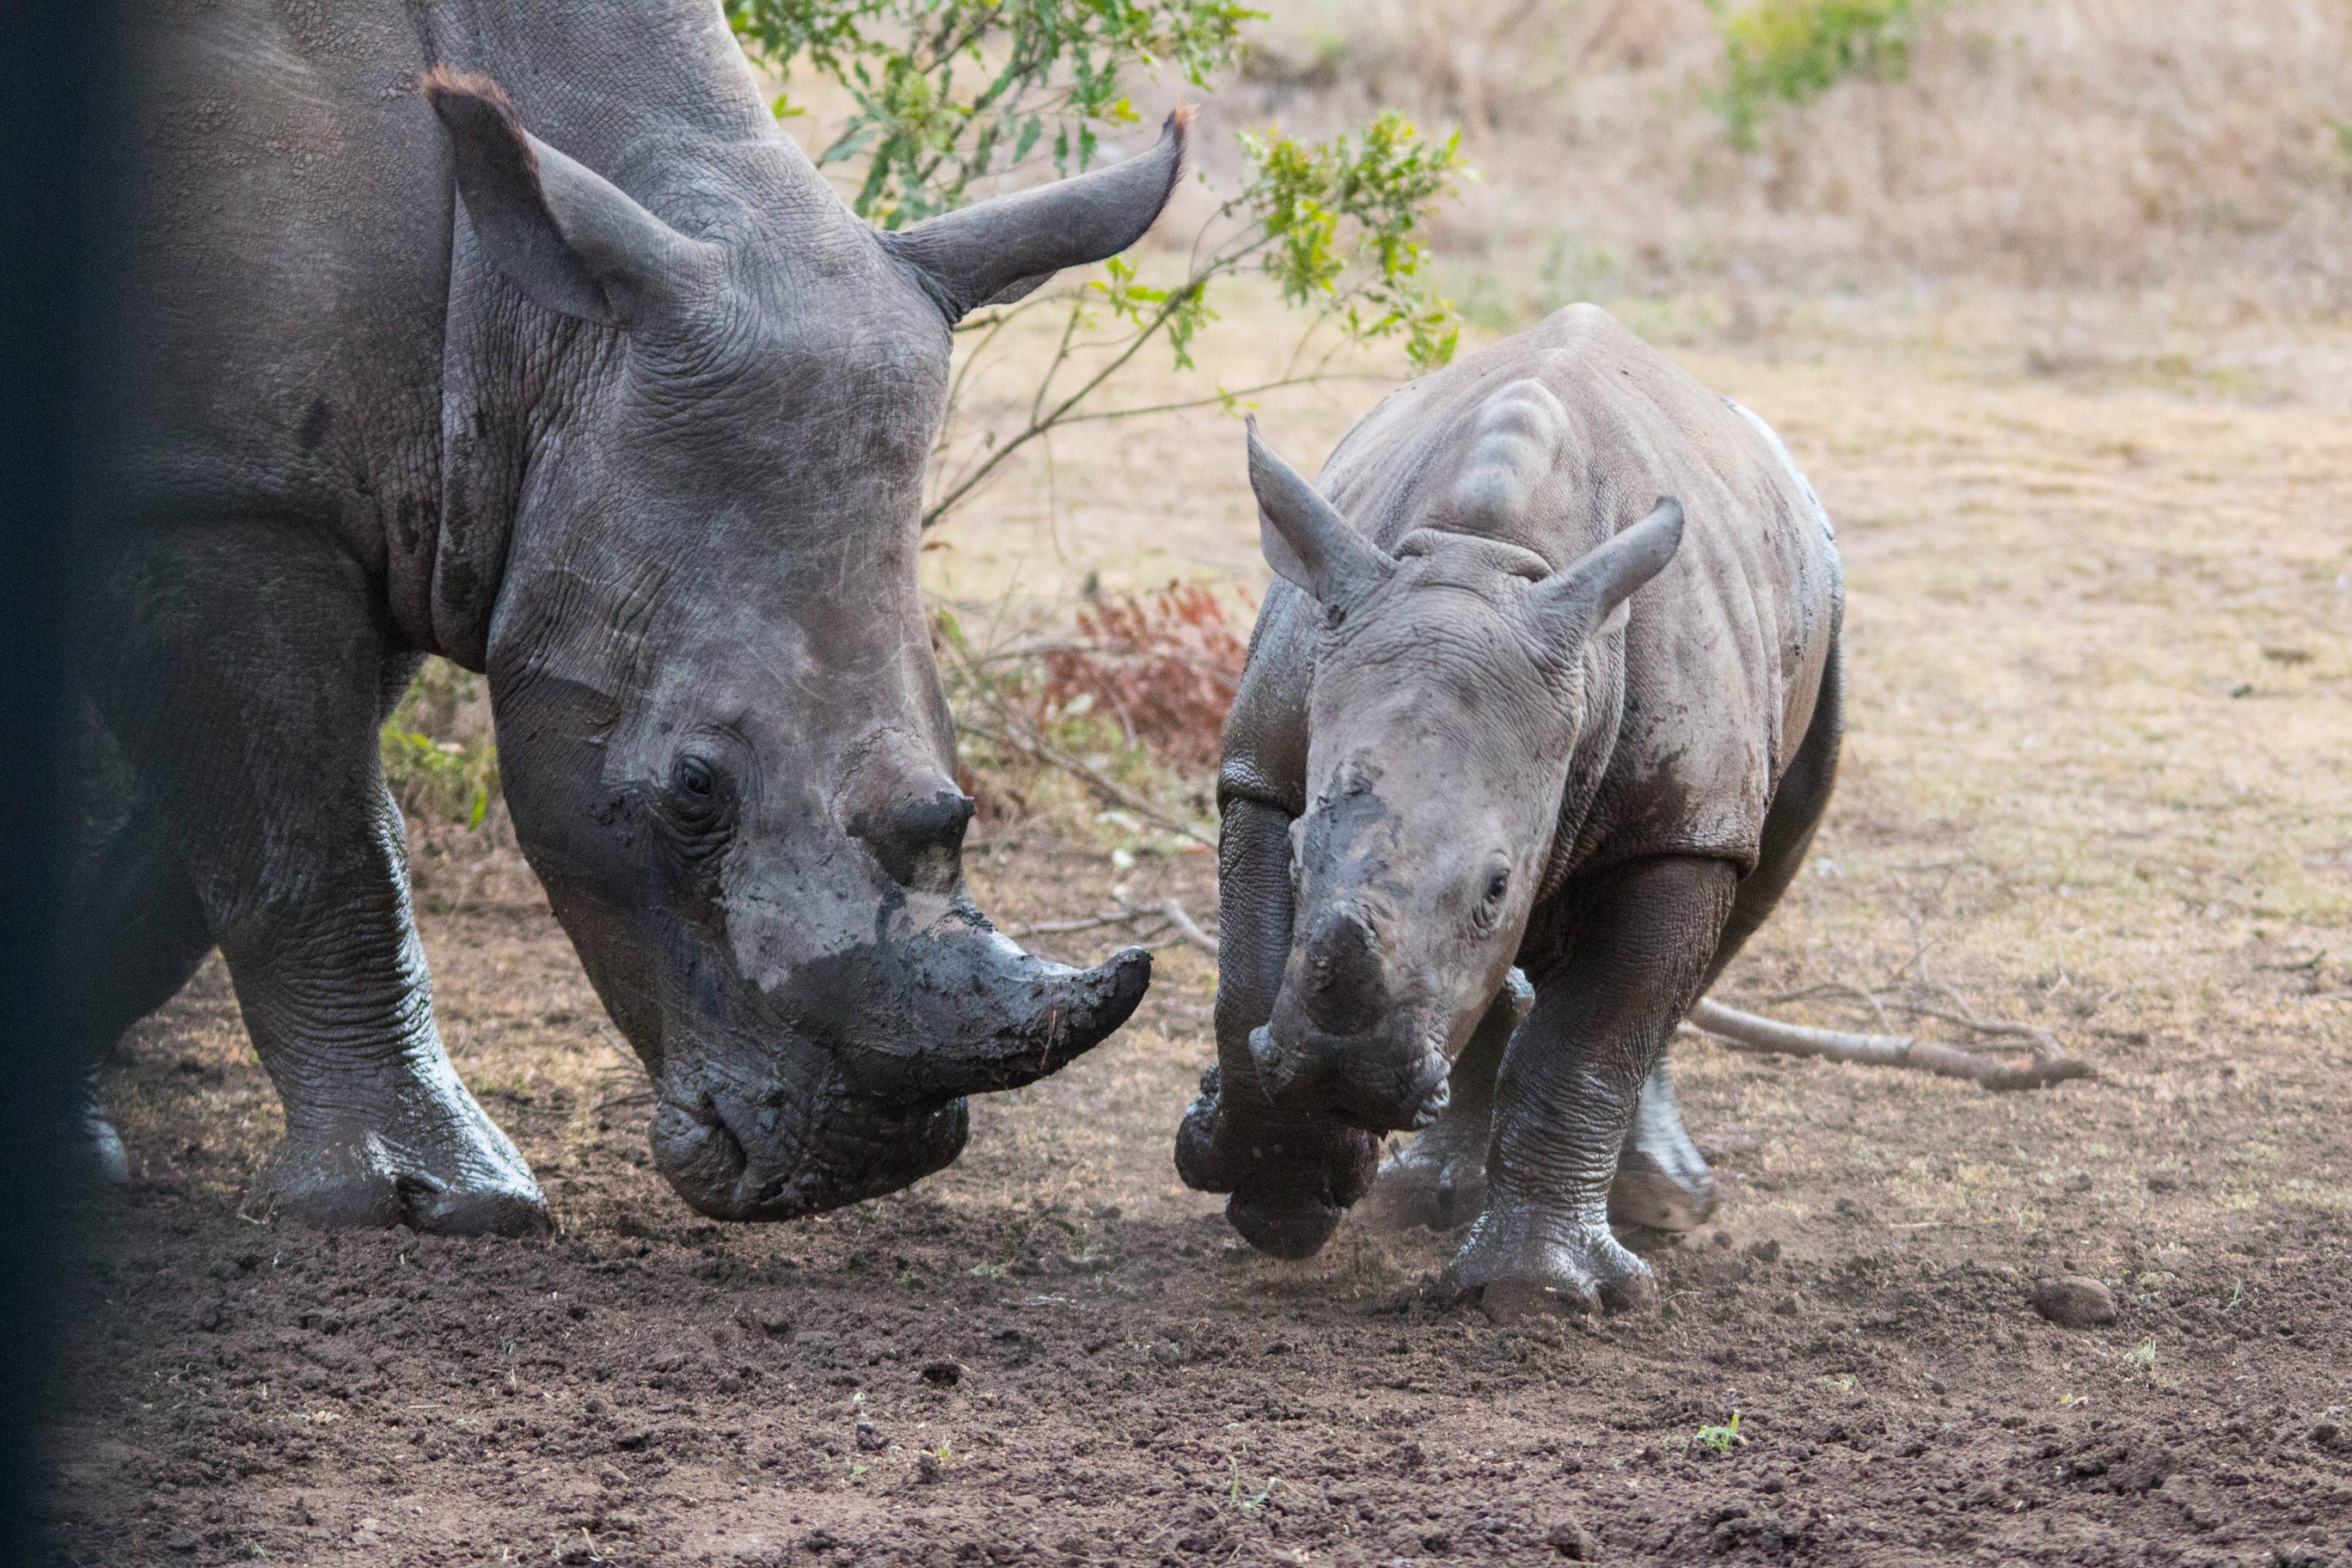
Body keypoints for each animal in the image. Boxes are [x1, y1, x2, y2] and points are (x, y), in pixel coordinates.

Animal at [75, 0, 1187, 1234]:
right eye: (695, 787)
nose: (860, 1165)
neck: (531, 326)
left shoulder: (393, 503)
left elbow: (184, 851)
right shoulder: (220, 494)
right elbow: (314, 841)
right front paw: (425, 1200)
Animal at [1174, 306, 1844, 1312]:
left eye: (1497, 888)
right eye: (1297, 854)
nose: (1345, 1071)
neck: (1487, 562)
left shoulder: (1685, 827)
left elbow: (1591, 1041)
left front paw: (1535, 1294)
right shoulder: (1262, 764)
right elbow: (1247, 981)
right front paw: (1281, 1189)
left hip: (1819, 624)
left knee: (1742, 903)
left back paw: (1662, 1205)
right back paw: (1423, 1197)